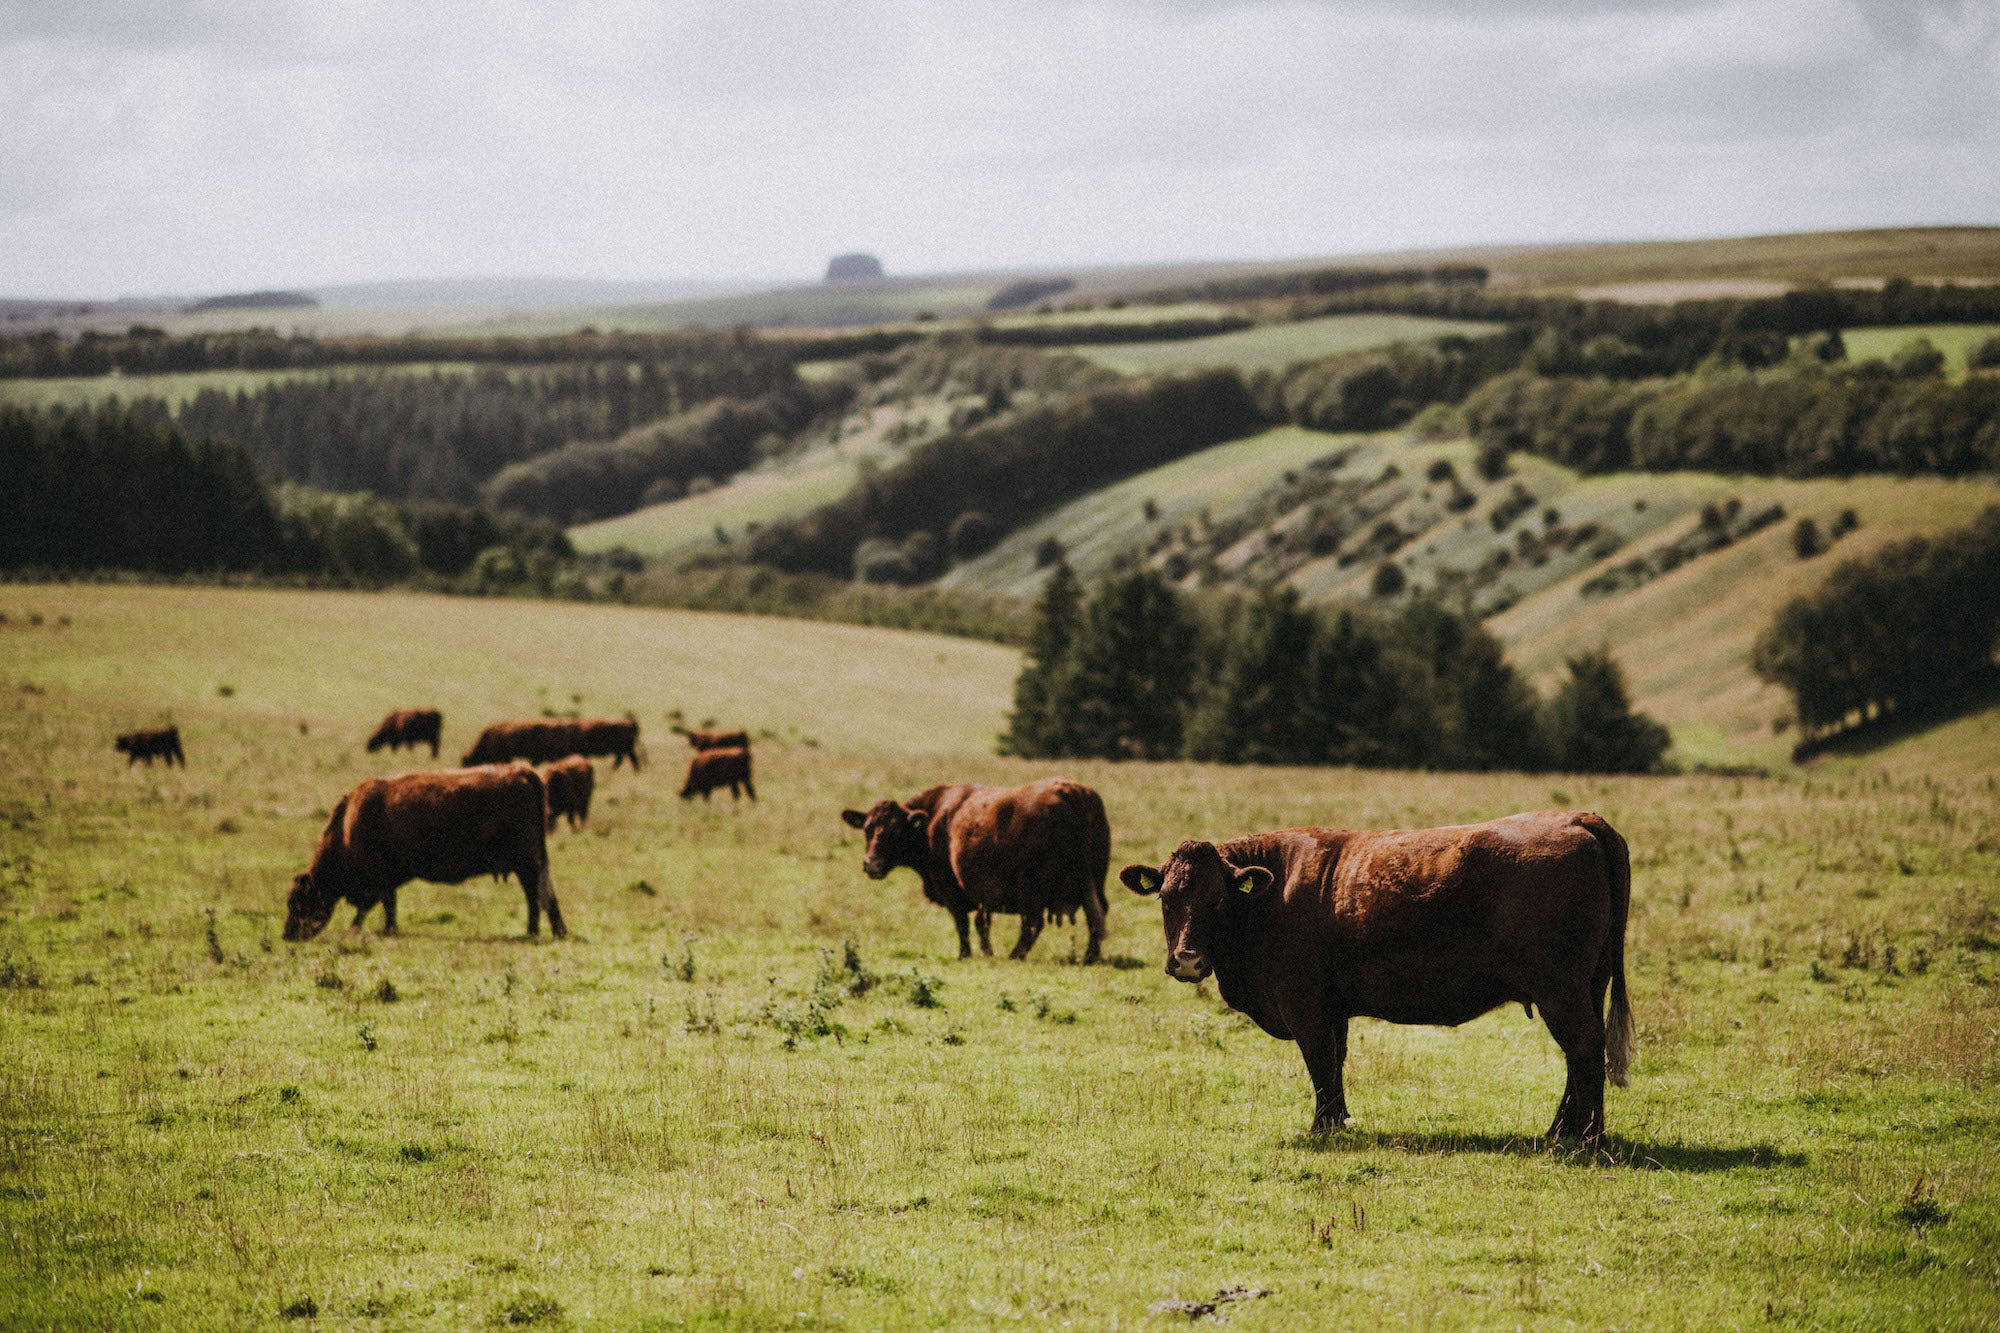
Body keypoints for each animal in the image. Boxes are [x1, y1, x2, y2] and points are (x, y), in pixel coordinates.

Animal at [282, 765, 565, 942]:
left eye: (298, 901)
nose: (287, 934)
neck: (348, 823)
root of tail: (521, 771)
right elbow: (381, 902)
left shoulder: (378, 875)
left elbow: (381, 903)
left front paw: (376, 929)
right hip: (532, 863)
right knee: (545, 895)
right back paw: (555, 931)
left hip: (526, 863)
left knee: (534, 896)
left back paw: (533, 931)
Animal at [840, 778, 1110, 964]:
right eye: (867, 829)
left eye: (895, 832)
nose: (871, 863)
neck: (932, 819)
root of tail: (1069, 789)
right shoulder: (984, 898)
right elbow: (982, 923)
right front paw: (985, 952)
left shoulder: (950, 888)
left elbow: (962, 923)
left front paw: (966, 955)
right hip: (1095, 881)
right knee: (1095, 915)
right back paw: (1091, 957)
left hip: (1031, 887)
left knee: (1033, 923)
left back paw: (1015, 955)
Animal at [1119, 812, 1633, 1143]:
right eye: (1166, 897)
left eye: (1219, 901)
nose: (1187, 960)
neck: (1271, 898)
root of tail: (1578, 819)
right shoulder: (1333, 1009)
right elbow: (1335, 1063)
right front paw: (1339, 1120)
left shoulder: (1304, 1005)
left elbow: (1319, 1063)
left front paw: (1321, 1129)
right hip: (1588, 985)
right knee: (1581, 1055)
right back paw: (1567, 1131)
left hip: (1559, 990)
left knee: (1585, 1047)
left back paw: (1584, 1140)